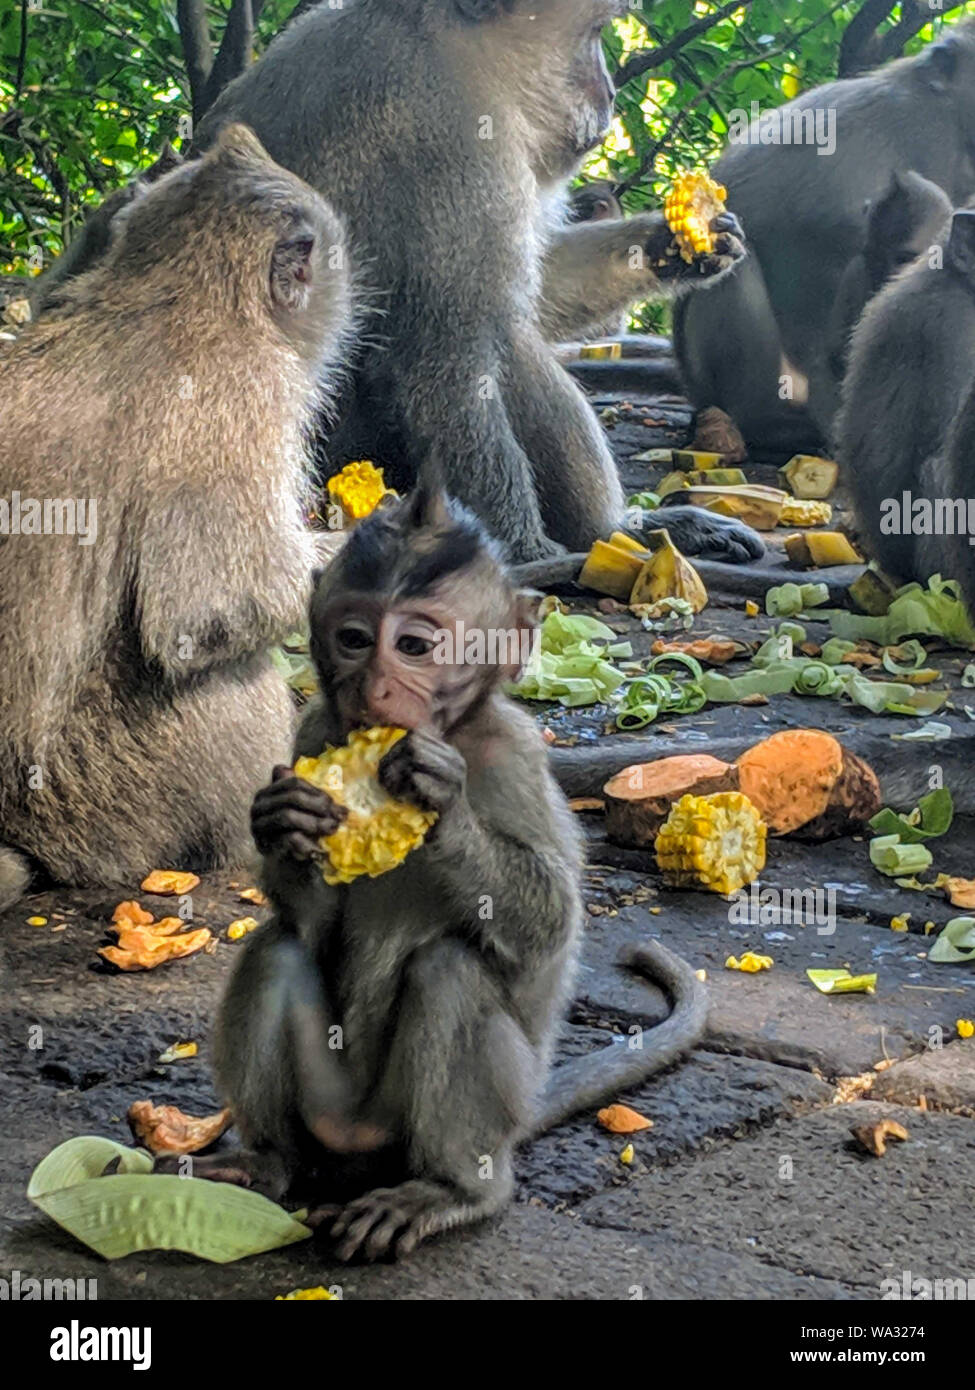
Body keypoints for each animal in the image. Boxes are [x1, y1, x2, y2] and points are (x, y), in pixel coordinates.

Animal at [195, 0, 762, 566]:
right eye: (597, 32)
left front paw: (673, 244)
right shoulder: (451, 137)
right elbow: (447, 353)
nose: (609, 92)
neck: (452, 43)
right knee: (499, 339)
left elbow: (536, 290)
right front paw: (521, 548)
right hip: (351, 457)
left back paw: (619, 533)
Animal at [202, 487, 707, 1261]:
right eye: (354, 637)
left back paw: (451, 1192)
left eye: (414, 645)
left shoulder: (514, 754)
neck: (454, 732)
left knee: (449, 973)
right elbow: (308, 923)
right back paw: (266, 1158)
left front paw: (442, 806)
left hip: (458, 1117)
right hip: (329, 1111)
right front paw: (284, 821)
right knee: (276, 949)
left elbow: (551, 920)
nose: (375, 689)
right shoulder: (315, 729)